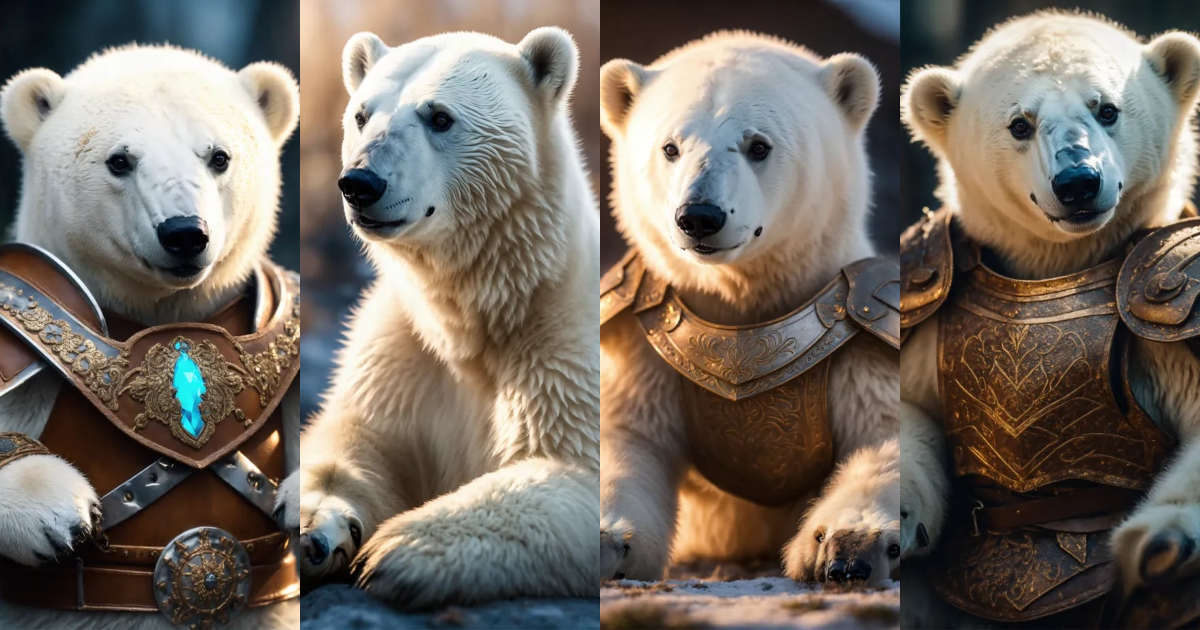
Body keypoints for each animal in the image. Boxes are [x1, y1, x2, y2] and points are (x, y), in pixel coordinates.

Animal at [275, 28, 600, 608]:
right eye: (361, 115)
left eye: (440, 117)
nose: (360, 182)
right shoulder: (399, 351)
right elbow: (359, 439)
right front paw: (312, 526)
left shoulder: (563, 346)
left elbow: (572, 473)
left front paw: (398, 546)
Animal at [598, 31, 901, 587]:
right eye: (670, 147)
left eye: (759, 145)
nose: (699, 216)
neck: (742, 305)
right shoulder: (643, 354)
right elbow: (626, 436)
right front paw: (609, 540)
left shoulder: (861, 343)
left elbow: (886, 437)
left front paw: (849, 543)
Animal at [900, 11, 1200, 627]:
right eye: (1020, 123)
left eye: (1106, 108)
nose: (1078, 182)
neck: (1062, 261)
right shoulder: (929, 298)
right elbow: (907, 414)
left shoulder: (1168, 308)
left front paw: (1163, 544)